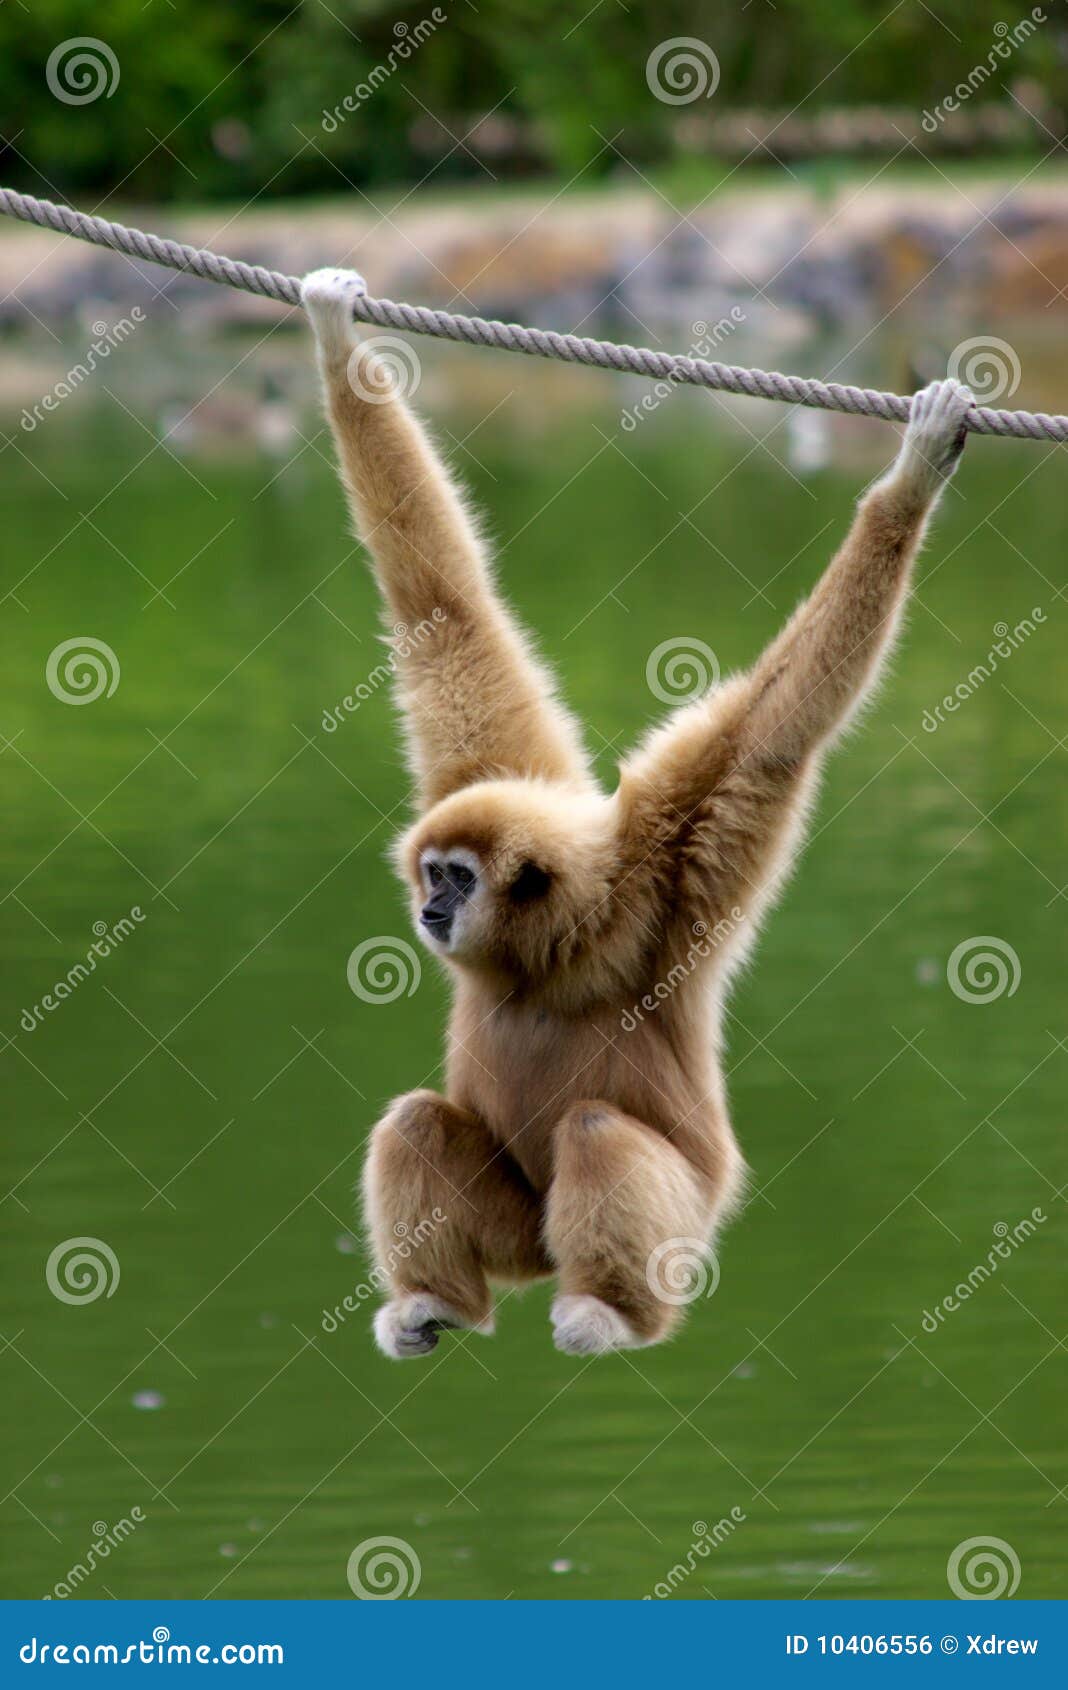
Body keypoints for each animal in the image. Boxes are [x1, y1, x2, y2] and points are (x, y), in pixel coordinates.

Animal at [301, 267, 971, 1360]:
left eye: (457, 878)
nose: (431, 908)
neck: (547, 954)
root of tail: (542, 1267)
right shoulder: (495, 771)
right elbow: (443, 604)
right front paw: (335, 336)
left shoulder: (673, 859)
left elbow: (775, 731)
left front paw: (911, 482)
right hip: (516, 1234)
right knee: (416, 1122)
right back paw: (440, 1302)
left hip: (687, 1222)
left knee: (595, 1131)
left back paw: (611, 1313)